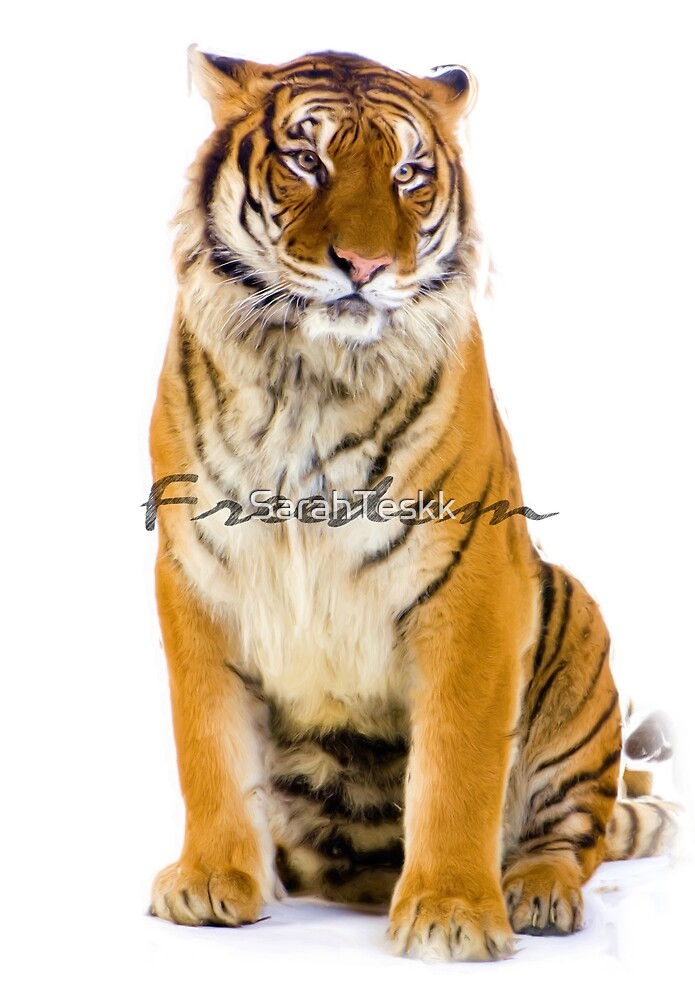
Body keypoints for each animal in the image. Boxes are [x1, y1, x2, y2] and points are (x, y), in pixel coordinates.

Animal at [147, 48, 677, 962]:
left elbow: (457, 767)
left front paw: (453, 914)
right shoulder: (195, 576)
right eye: (305, 160)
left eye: (408, 174)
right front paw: (213, 882)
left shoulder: (471, 588)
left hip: (572, 628)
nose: (362, 267)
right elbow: (208, 746)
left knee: (576, 831)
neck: (310, 377)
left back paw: (534, 893)